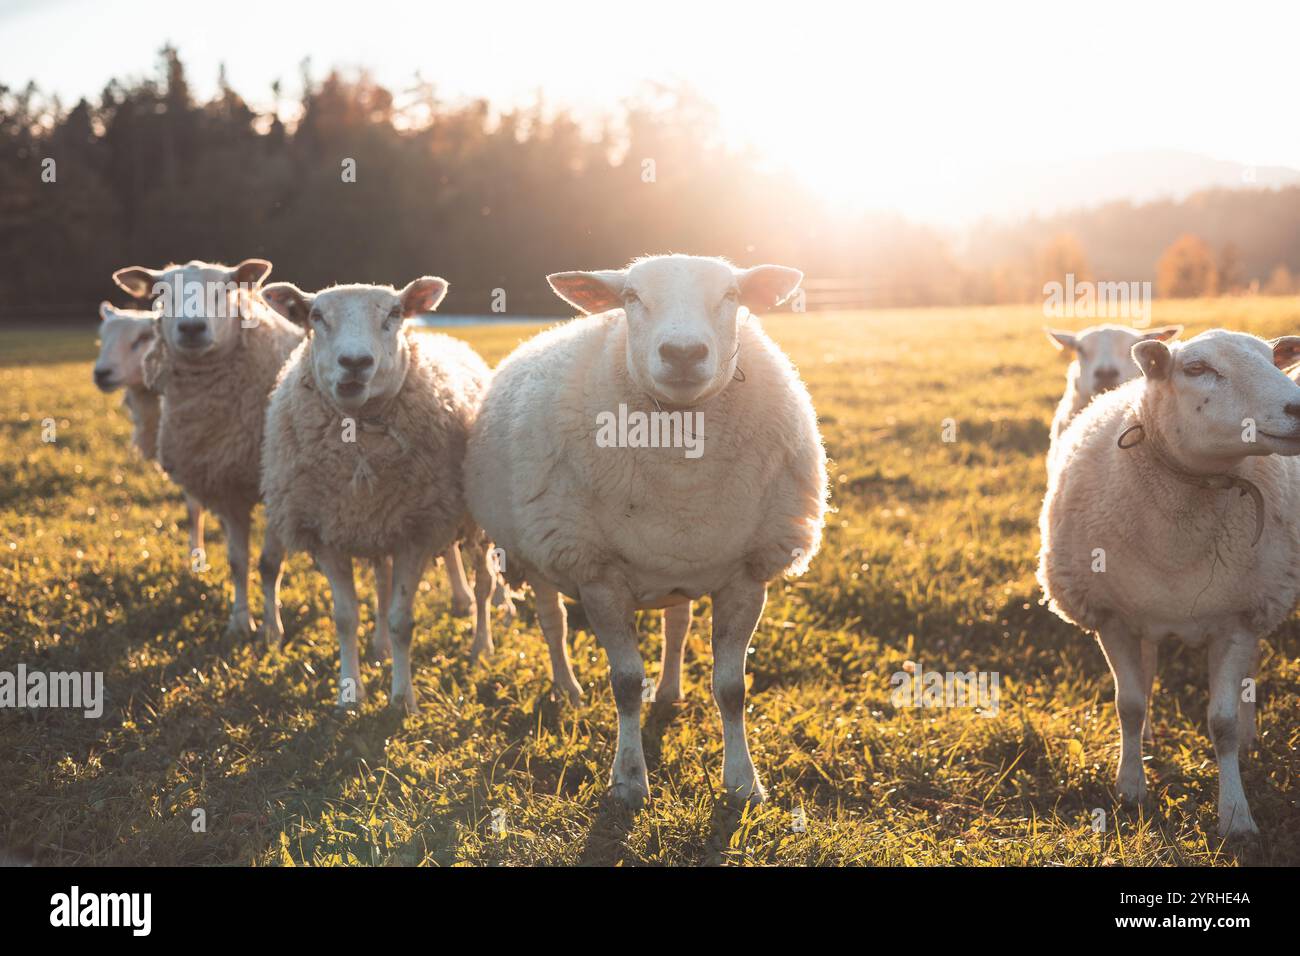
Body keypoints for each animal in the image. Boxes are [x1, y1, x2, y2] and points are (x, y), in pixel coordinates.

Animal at [111, 259, 303, 641]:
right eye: (161, 294)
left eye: (225, 290)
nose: (191, 327)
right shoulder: (225, 486)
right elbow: (238, 562)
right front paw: (240, 622)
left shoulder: (277, 488)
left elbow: (270, 564)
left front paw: (272, 630)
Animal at [260, 277, 495, 713]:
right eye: (315, 316)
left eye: (395, 313)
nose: (355, 363)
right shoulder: (327, 531)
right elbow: (345, 618)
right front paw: (349, 693)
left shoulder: (416, 532)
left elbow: (403, 621)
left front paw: (403, 699)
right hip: (391, 521)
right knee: (389, 582)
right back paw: (385, 644)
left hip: (470, 519)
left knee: (484, 582)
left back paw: (481, 645)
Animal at [464, 254, 829, 806]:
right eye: (631, 297)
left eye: (731, 295)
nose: (683, 353)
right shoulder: (597, 575)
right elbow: (625, 684)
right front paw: (630, 781)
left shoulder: (747, 574)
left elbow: (732, 688)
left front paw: (744, 783)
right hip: (538, 548)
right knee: (552, 623)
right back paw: (567, 690)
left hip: (678, 564)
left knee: (676, 624)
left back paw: (671, 691)